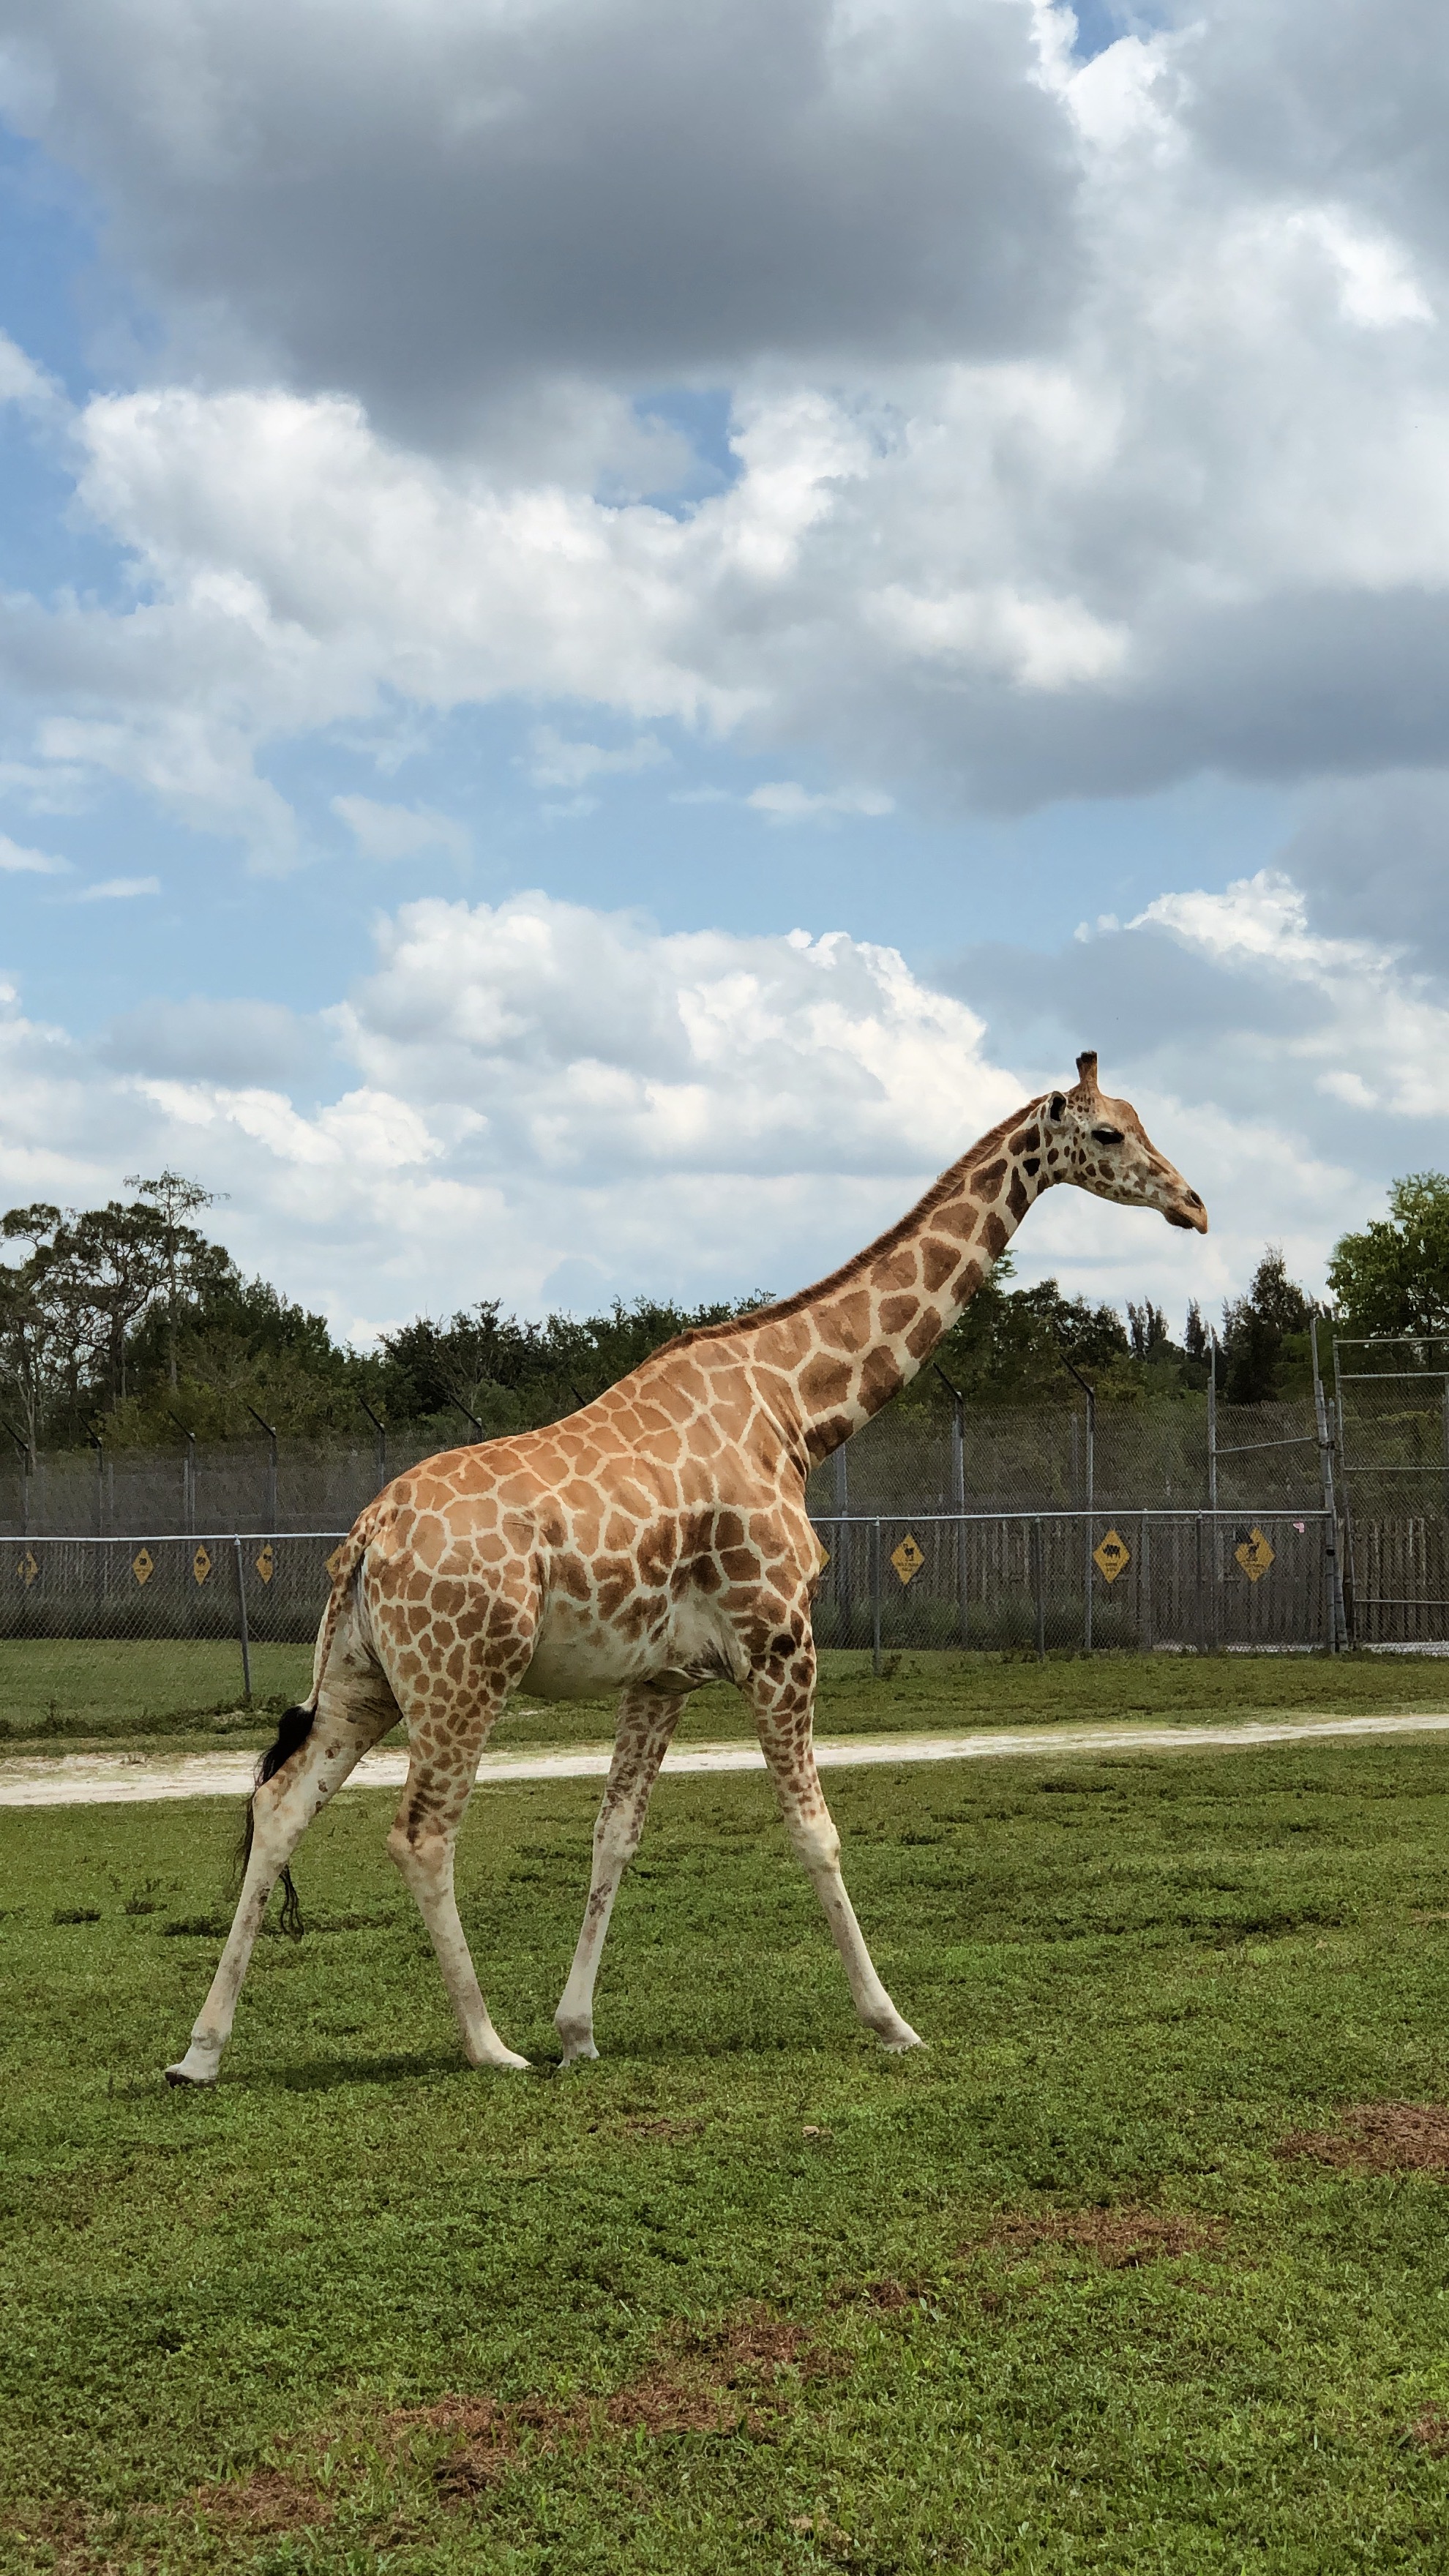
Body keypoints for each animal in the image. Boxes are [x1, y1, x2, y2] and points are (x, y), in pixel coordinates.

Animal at [164, 1052, 1206, 2086]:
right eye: (1109, 1133)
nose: (1193, 1205)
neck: (797, 1410)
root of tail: (368, 1534)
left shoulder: (661, 1675)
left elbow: (613, 1835)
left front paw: (579, 2030)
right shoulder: (780, 1641)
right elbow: (815, 1831)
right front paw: (891, 2019)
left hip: (363, 1677)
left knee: (280, 1807)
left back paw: (201, 2051)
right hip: (462, 1679)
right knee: (420, 1835)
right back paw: (488, 2044)